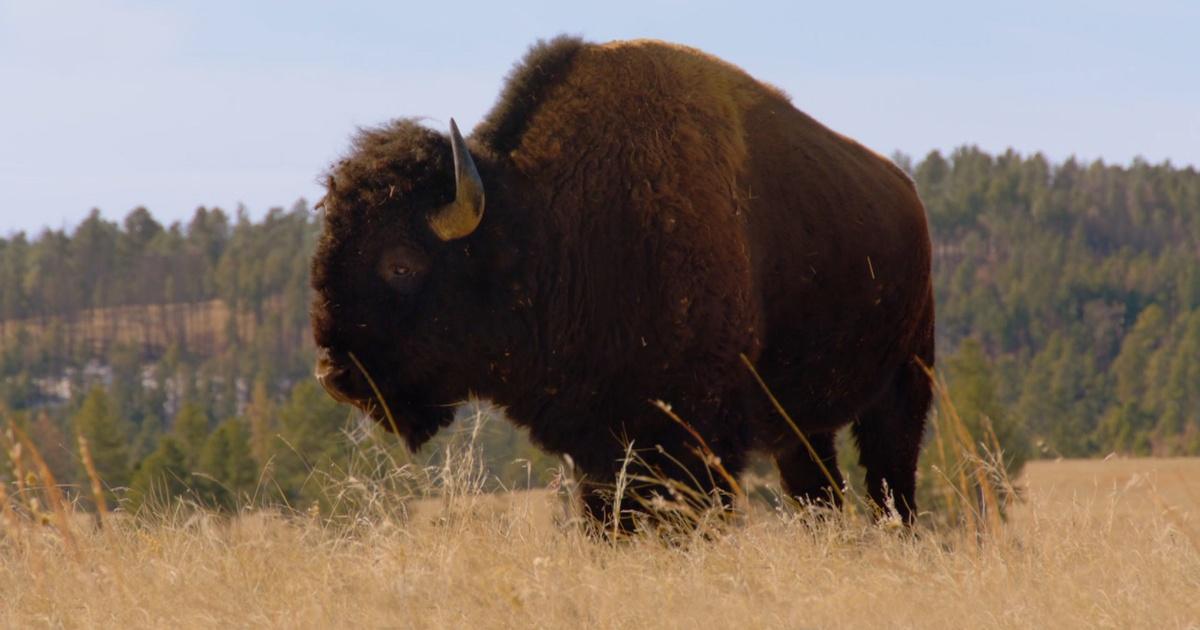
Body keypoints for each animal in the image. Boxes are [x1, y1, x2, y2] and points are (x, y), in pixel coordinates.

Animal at [310, 37, 934, 524]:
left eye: (401, 263)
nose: (334, 373)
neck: (540, 222)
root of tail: (907, 193)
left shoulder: (697, 436)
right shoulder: (599, 446)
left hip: (902, 385)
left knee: (891, 484)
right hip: (801, 424)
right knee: (819, 492)